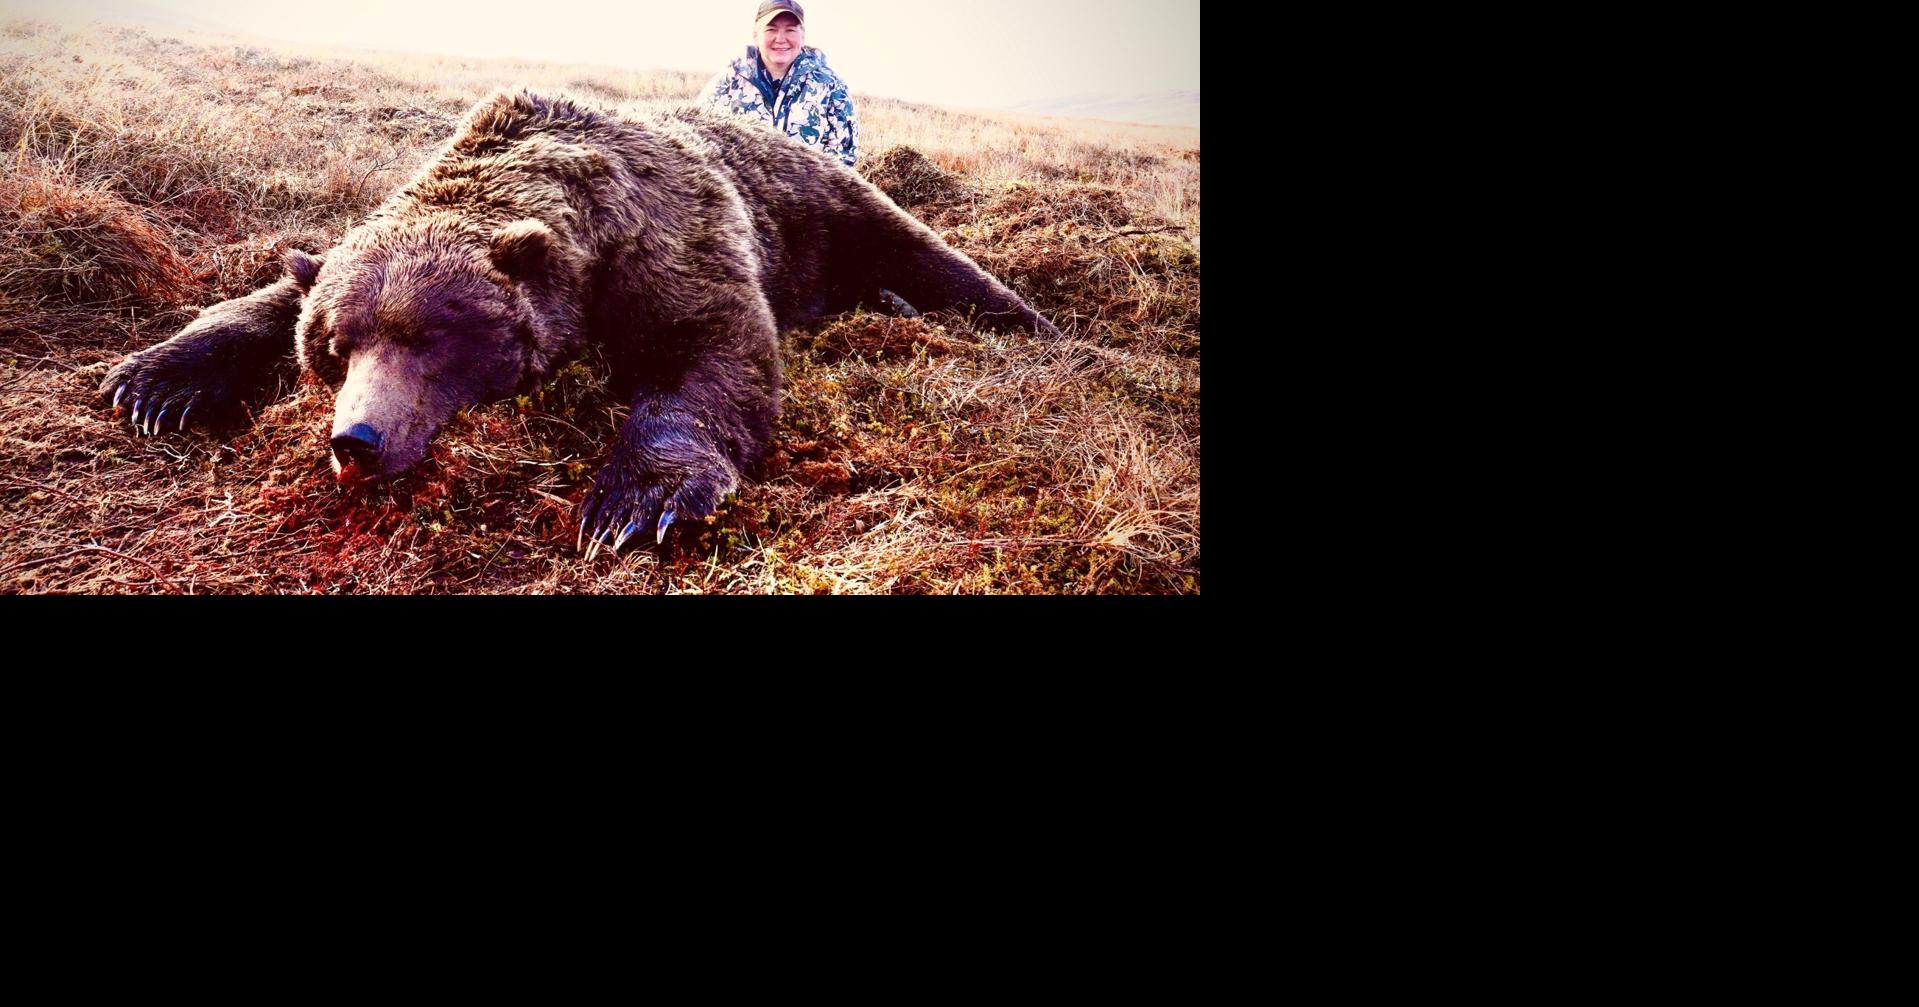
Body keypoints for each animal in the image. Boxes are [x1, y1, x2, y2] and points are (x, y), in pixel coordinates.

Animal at [99, 90, 1059, 556]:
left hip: (826, 204)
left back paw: (1027, 324)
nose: (357, 440)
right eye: (337, 349)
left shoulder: (670, 241)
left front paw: (636, 501)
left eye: (428, 338)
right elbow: (271, 291)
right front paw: (154, 379)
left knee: (931, 258)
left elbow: (716, 352)